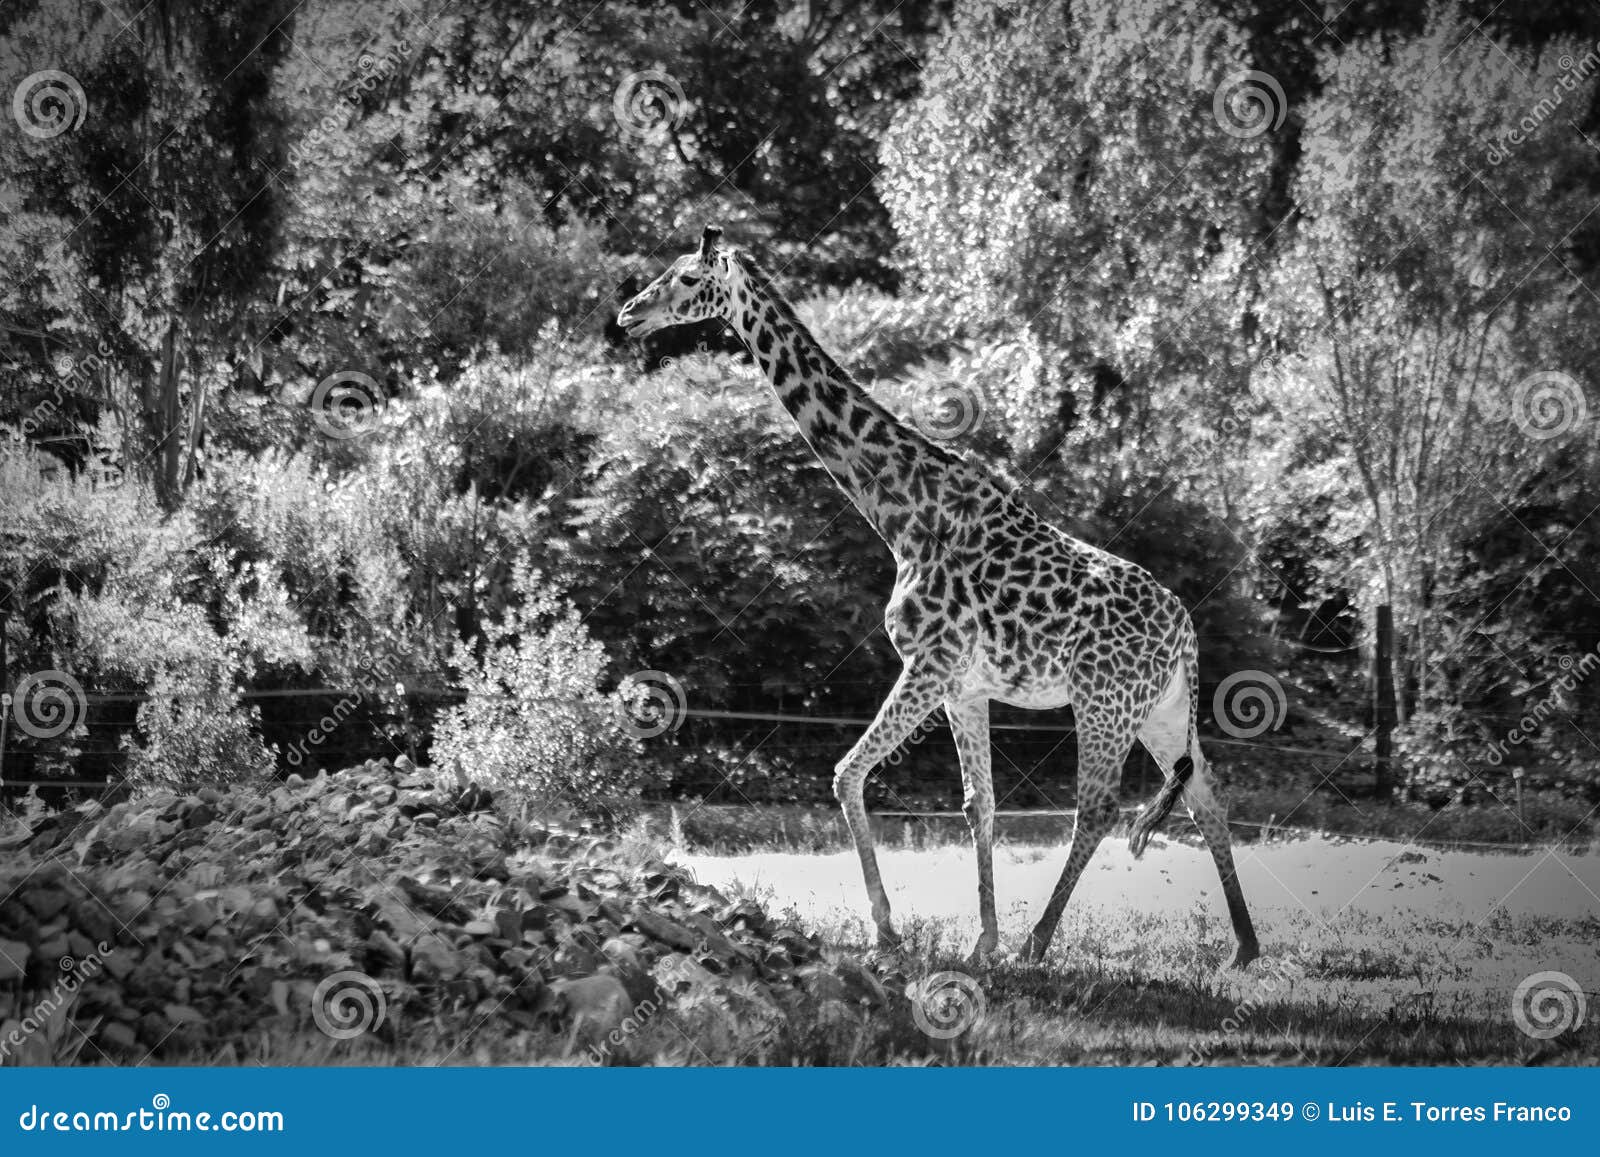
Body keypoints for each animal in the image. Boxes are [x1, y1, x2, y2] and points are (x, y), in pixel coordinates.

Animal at [617, 226, 1260, 968]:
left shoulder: (928, 660)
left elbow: (846, 773)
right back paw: (1244, 948)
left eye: (689, 278)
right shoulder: (964, 685)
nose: (630, 312)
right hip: (1162, 707)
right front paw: (981, 941)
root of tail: (1186, 632)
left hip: (1105, 702)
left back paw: (1039, 942)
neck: (898, 510)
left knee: (1098, 806)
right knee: (1207, 796)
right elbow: (979, 803)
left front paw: (889, 932)